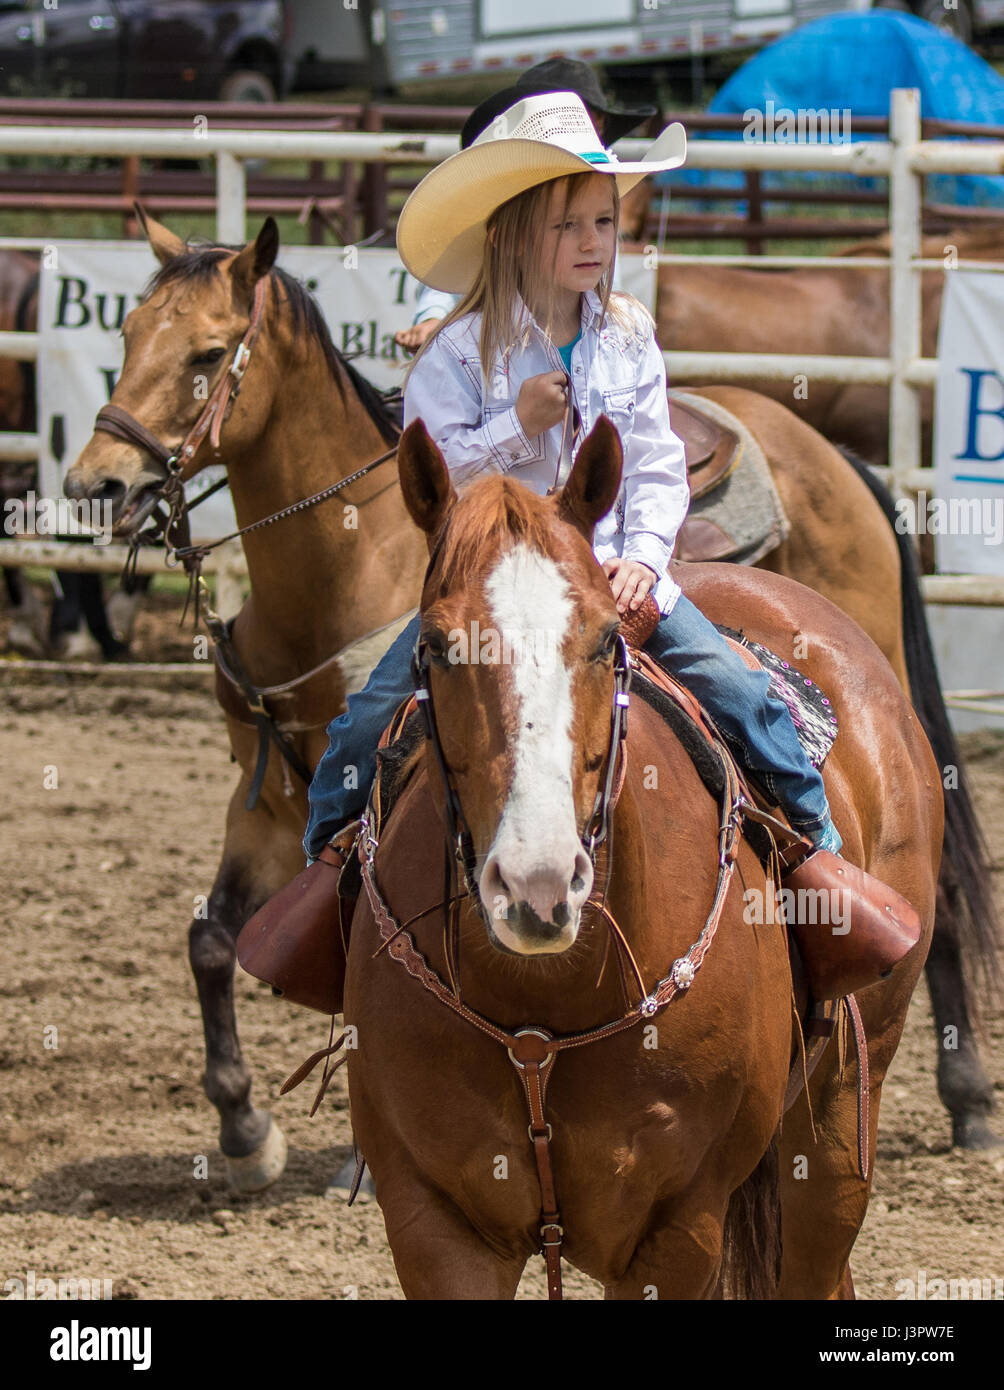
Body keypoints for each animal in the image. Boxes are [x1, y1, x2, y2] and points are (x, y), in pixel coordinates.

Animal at [62, 213, 995, 1199]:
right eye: (127, 335)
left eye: (208, 352)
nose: (96, 486)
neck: (340, 569)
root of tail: (837, 460)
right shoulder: (271, 807)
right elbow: (211, 939)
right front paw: (244, 1128)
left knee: (923, 893)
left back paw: (967, 1093)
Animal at [343, 417, 942, 1299]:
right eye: (437, 645)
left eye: (601, 641)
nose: (537, 884)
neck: (544, 1009)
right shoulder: (433, 1222)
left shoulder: (680, 1229)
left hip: (835, 1131)